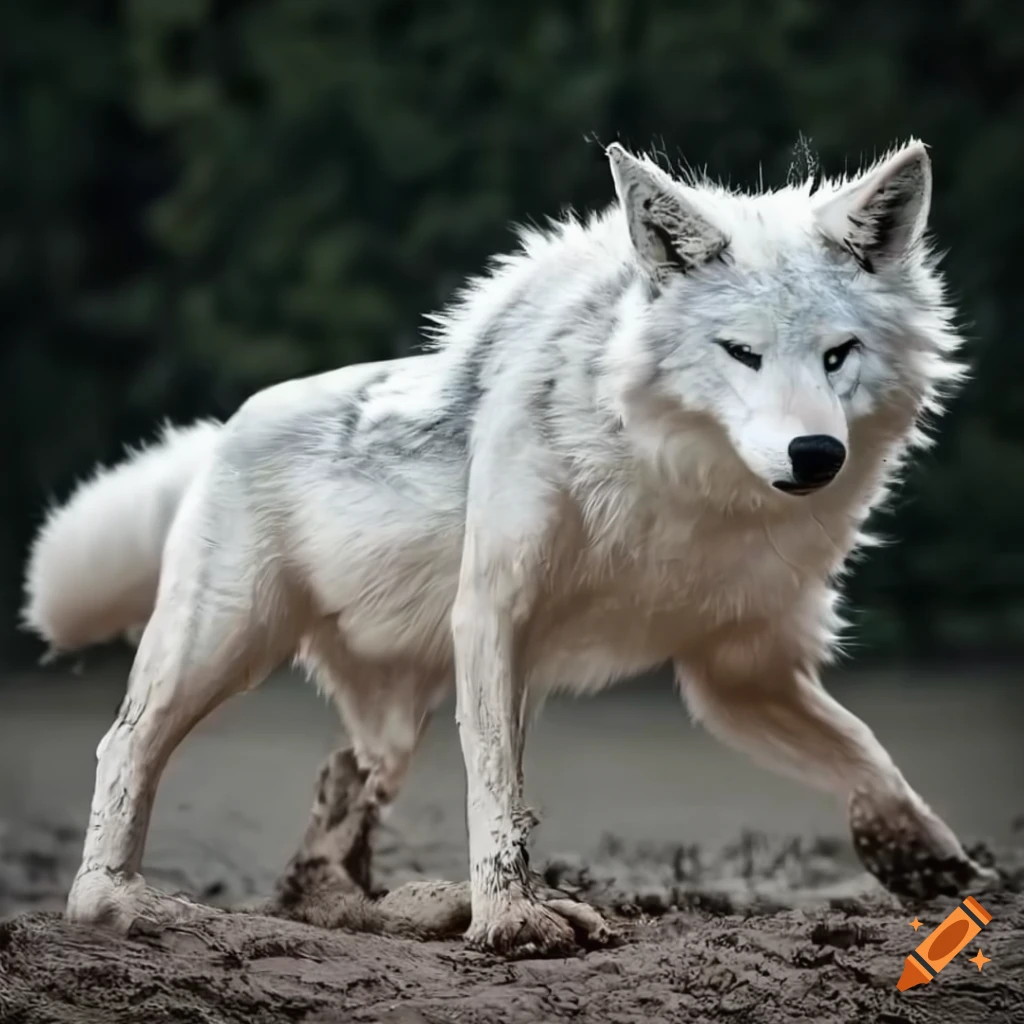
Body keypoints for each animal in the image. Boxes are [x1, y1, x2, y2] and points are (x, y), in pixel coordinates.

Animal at [23, 138, 996, 957]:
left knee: (331, 811)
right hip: (224, 648)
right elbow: (497, 790)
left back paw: (395, 907)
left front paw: (927, 860)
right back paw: (128, 905)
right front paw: (511, 922)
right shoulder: (496, 615)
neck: (682, 488)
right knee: (124, 752)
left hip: (391, 719)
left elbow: (862, 744)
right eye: (741, 353)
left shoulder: (740, 669)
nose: (816, 455)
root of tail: (218, 432)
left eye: (840, 354)